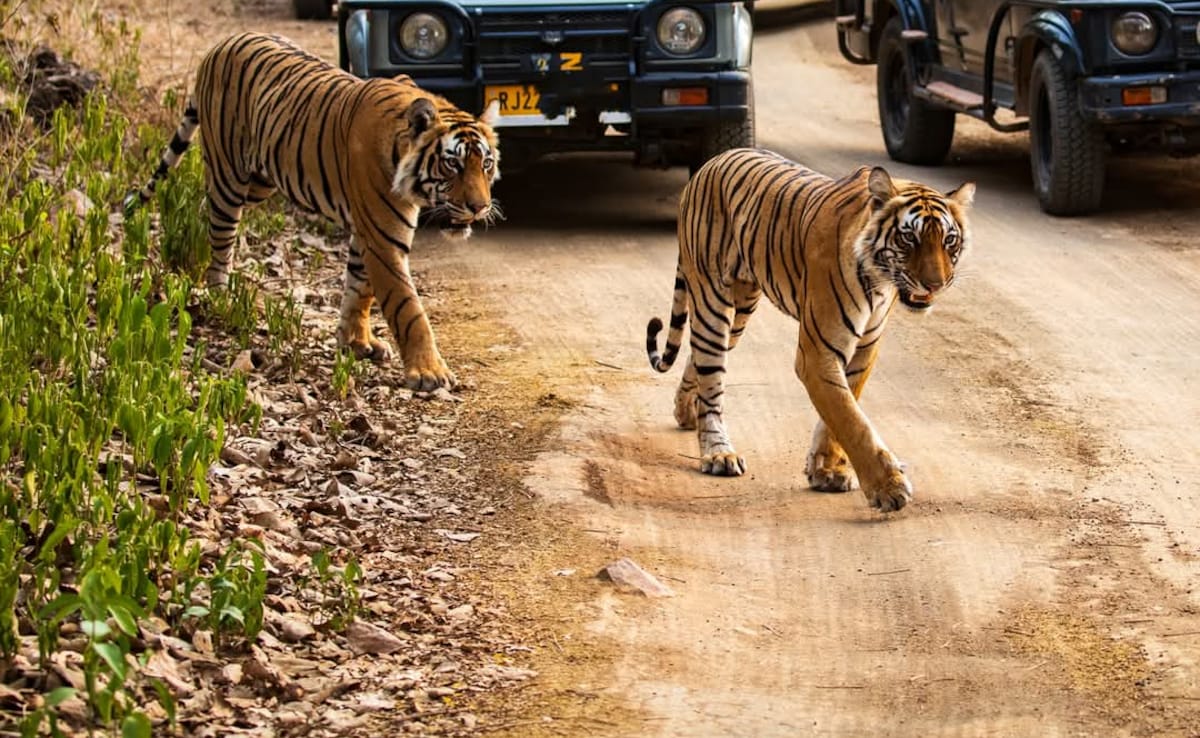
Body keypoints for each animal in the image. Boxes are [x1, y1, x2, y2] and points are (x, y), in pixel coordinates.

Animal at [131, 32, 501, 391]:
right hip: (229, 175)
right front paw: (429, 373)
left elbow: (359, 288)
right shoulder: (384, 237)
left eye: (485, 164)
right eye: (452, 164)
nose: (479, 207)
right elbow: (407, 307)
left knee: (207, 208)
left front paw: (356, 342)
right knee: (220, 235)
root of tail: (220, 44)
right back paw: (219, 293)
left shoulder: (367, 230)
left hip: (260, 182)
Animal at [645, 148, 974, 512]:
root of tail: (712, 162)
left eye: (949, 241)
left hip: (741, 309)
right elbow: (851, 419)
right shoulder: (818, 352)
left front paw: (826, 471)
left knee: (698, 359)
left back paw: (686, 411)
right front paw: (888, 488)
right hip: (712, 300)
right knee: (712, 376)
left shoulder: (864, 349)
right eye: (908, 238)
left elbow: (842, 409)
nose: (936, 284)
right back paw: (719, 454)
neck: (879, 281)